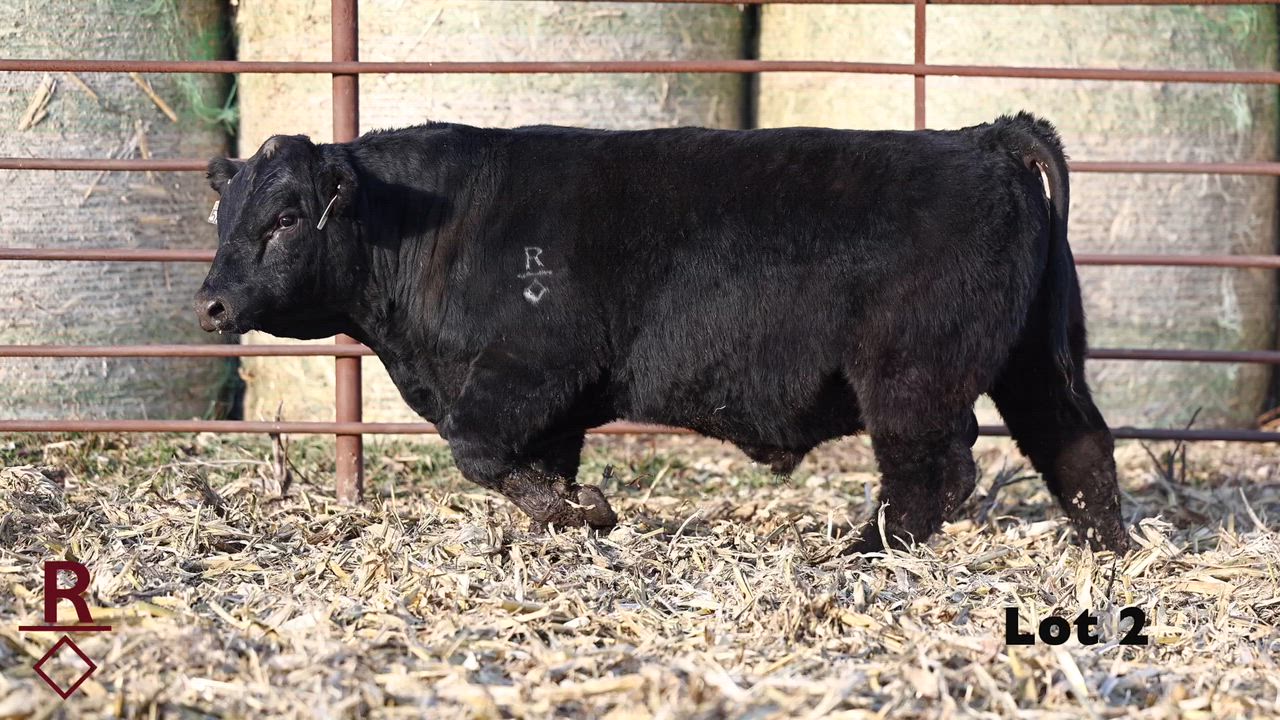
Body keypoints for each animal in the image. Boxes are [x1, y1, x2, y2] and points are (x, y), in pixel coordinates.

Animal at [195, 112, 1130, 555]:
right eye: (225, 211)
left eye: (285, 217)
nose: (212, 303)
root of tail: (981, 139)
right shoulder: (552, 402)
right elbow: (530, 462)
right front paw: (567, 515)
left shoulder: (527, 370)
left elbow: (477, 449)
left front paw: (587, 511)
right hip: (1036, 360)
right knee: (1077, 442)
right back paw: (1109, 550)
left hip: (909, 379)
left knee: (934, 470)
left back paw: (862, 551)